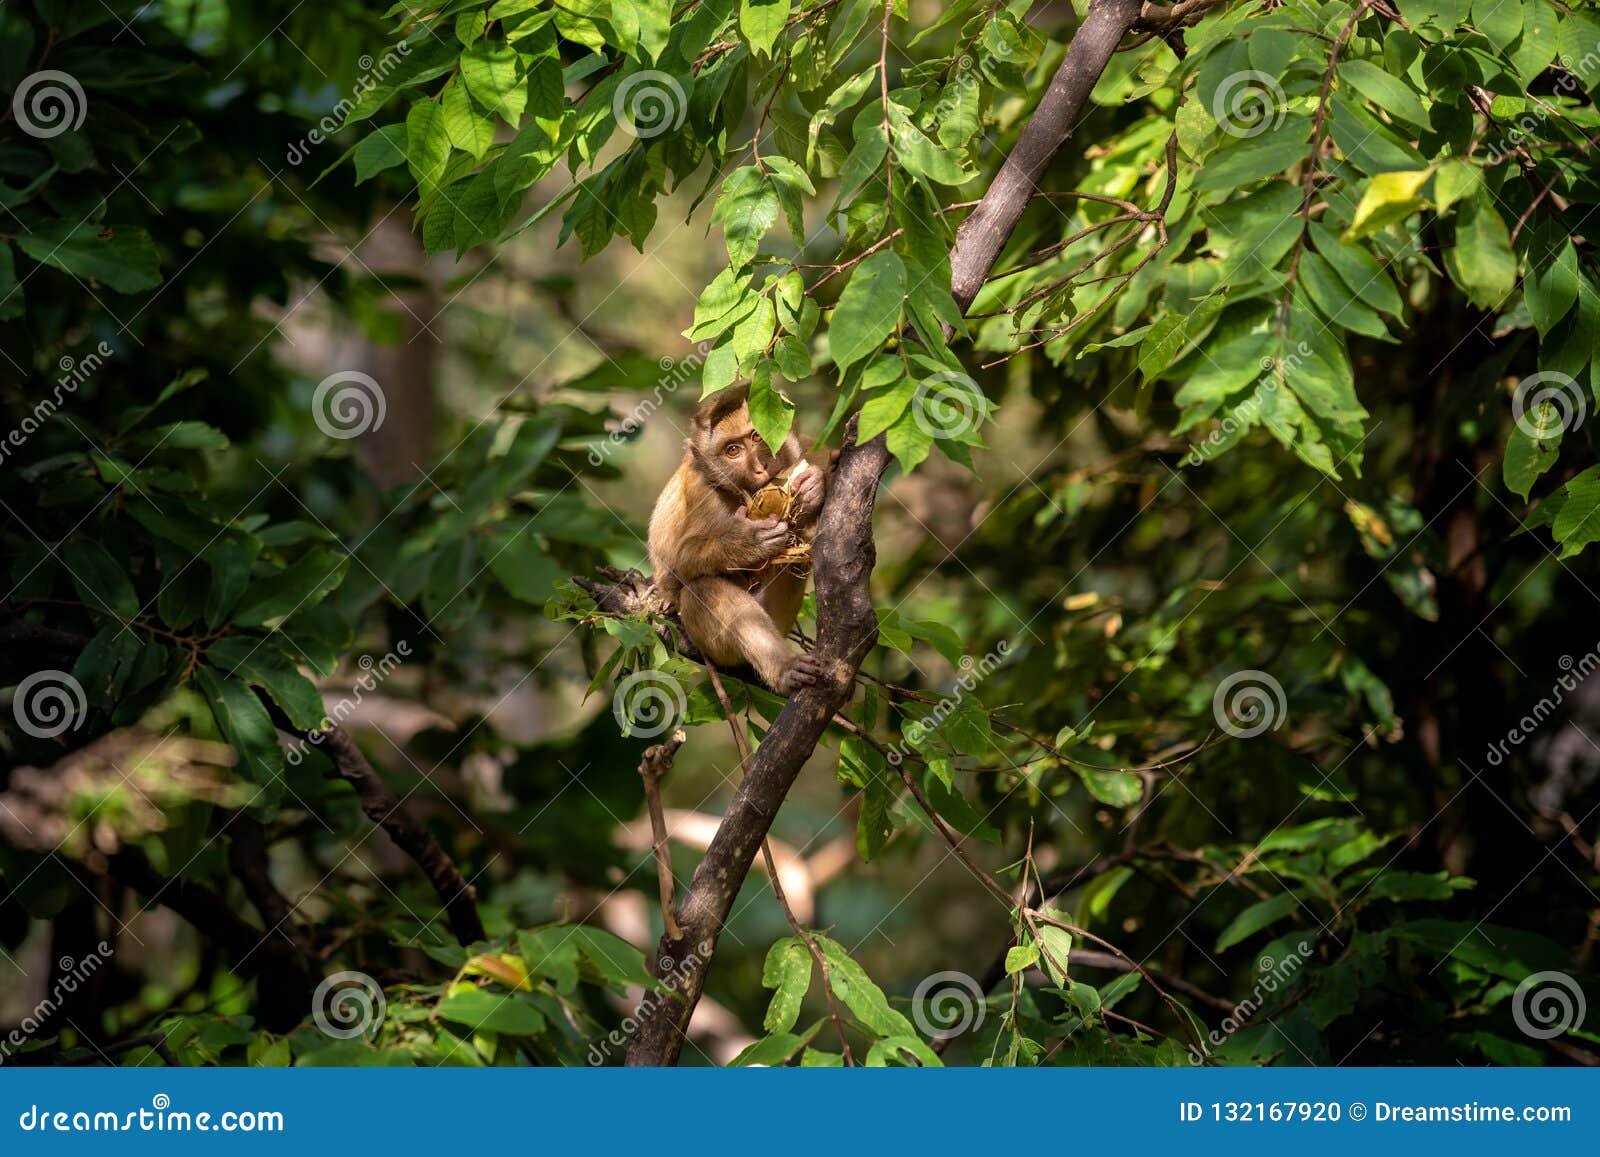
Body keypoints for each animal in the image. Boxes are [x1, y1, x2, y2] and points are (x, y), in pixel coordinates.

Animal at [647, 386, 829, 694]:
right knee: (703, 590)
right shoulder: (702, 490)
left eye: (757, 436)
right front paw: (747, 542)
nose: (760, 467)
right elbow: (682, 559)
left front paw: (812, 489)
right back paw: (784, 669)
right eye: (733, 450)